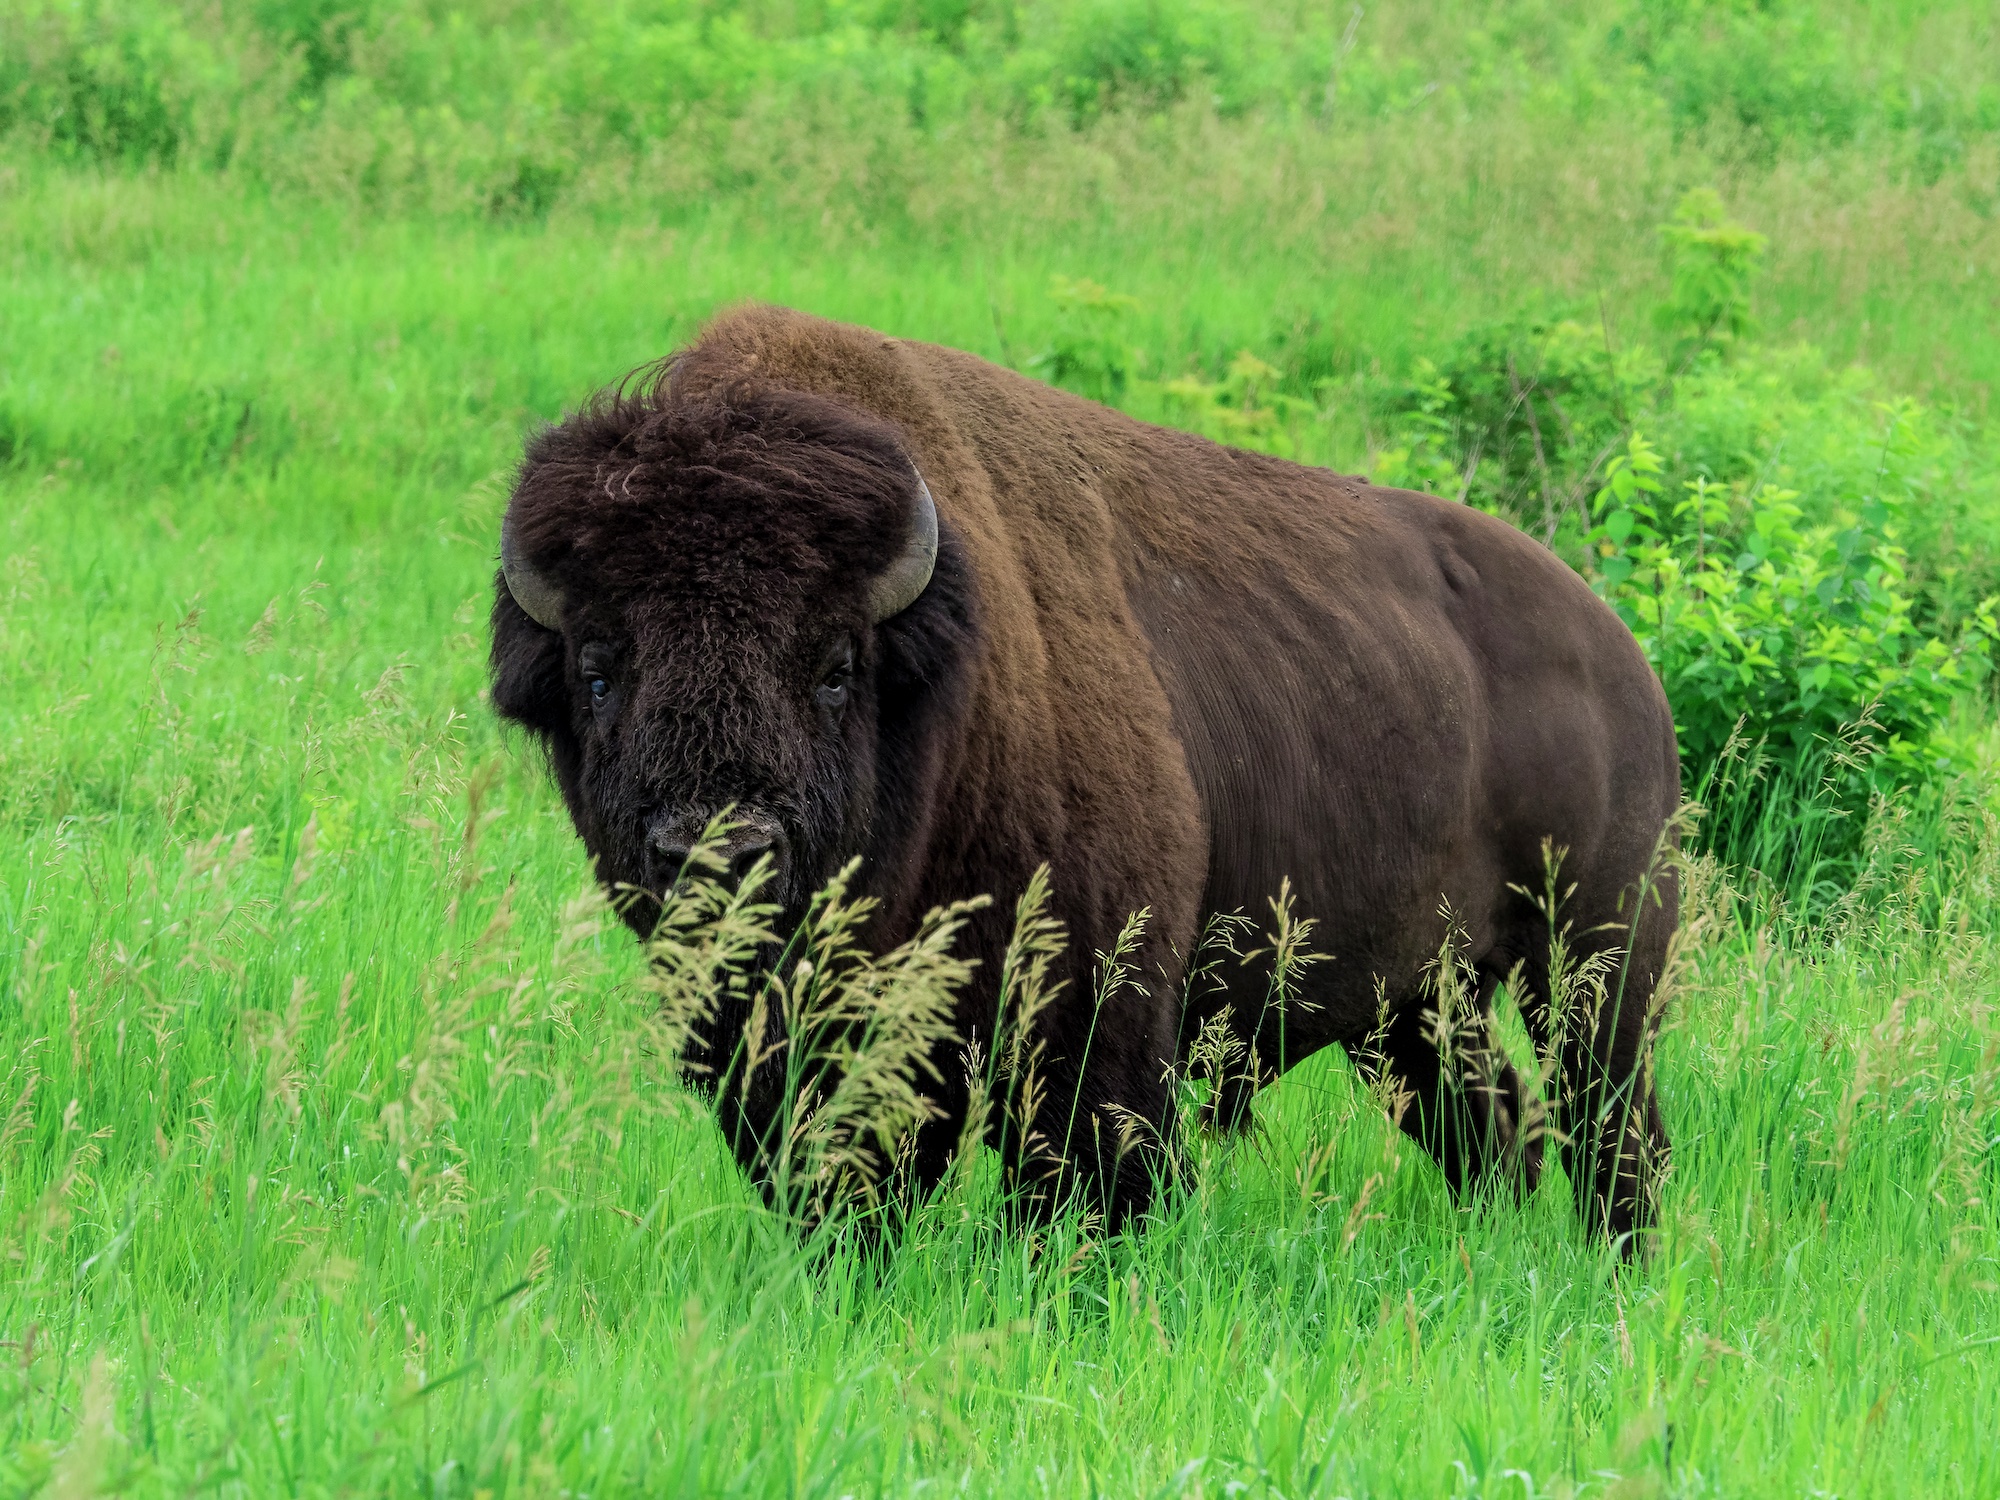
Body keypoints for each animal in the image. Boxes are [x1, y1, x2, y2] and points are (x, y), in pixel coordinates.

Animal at [490, 304, 1680, 1244]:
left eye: (832, 665)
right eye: (597, 667)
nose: (721, 852)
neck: (941, 686)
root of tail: (1619, 655)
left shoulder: (1089, 1009)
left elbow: (1085, 1182)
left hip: (1595, 955)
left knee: (1613, 1125)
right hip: (1414, 1006)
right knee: (1495, 1123)